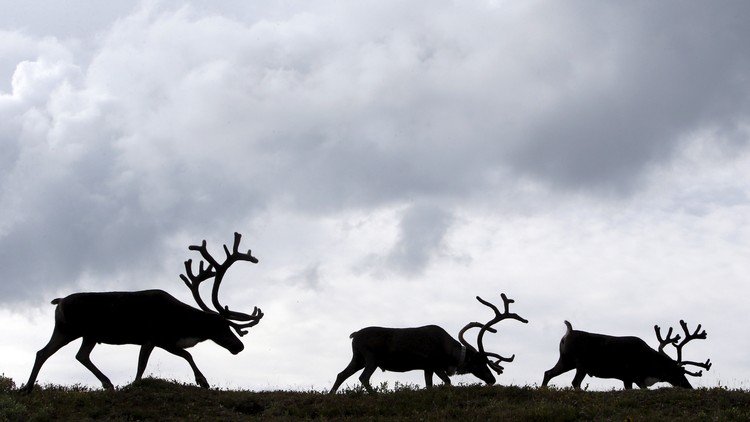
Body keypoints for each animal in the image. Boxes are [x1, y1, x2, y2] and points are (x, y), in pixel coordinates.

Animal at [22, 232, 264, 393]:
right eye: (222, 325)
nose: (239, 346)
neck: (183, 324)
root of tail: (59, 302)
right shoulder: (154, 337)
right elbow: (151, 364)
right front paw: (202, 381)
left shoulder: (161, 340)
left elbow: (177, 357)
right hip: (76, 330)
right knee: (63, 354)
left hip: (76, 332)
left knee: (53, 353)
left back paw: (30, 388)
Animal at [329, 293, 528, 394]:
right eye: (480, 362)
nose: (492, 379)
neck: (450, 353)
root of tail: (354, 335)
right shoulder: (433, 364)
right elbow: (443, 382)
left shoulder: (430, 368)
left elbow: (434, 384)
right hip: (371, 357)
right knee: (363, 377)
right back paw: (376, 396)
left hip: (358, 358)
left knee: (341, 374)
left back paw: (331, 395)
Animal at [542, 319, 712, 389]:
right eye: (680, 372)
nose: (689, 387)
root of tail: (567, 332)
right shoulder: (636, 376)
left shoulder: (627, 378)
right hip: (581, 364)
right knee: (575, 382)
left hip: (566, 361)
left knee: (548, 372)